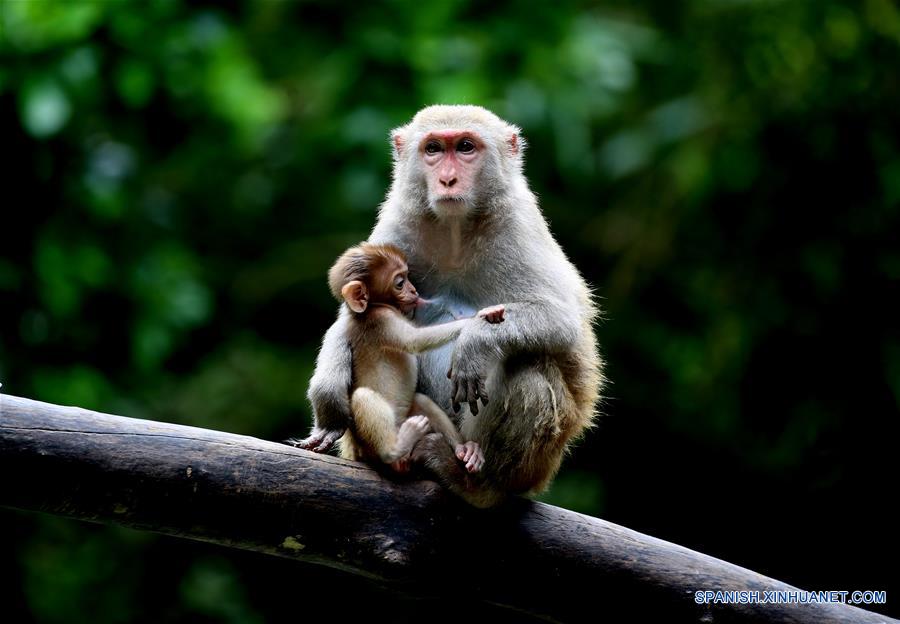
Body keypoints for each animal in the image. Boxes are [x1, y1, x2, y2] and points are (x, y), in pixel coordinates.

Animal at [321, 242, 505, 474]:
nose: (414, 290)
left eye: (408, 277)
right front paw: (479, 317)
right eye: (400, 283)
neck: (370, 310)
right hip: (369, 446)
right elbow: (416, 341)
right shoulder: (383, 320)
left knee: (421, 400)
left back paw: (464, 449)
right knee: (363, 397)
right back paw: (394, 449)